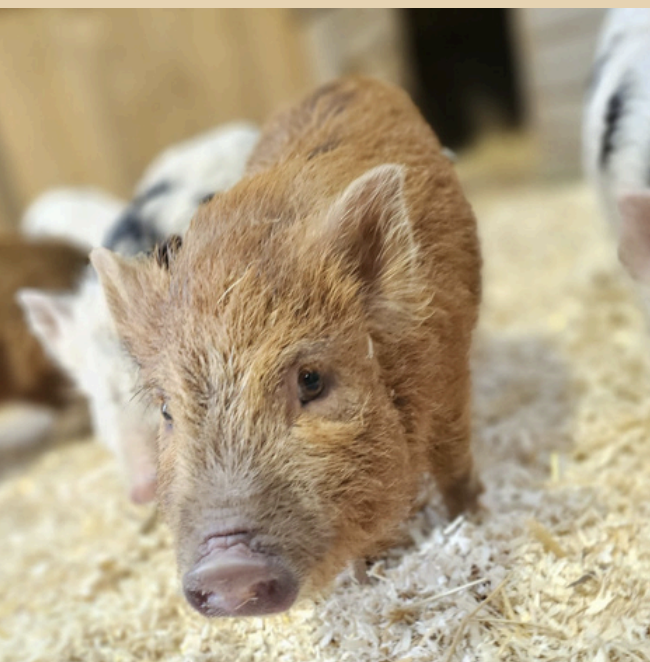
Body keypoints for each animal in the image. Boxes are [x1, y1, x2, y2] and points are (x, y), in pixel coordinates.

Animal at [91, 77, 483, 617]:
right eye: (166, 410)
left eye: (312, 380)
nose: (228, 568)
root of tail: (344, 80)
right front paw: (366, 574)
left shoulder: (451, 380)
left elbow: (455, 467)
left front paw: (478, 521)